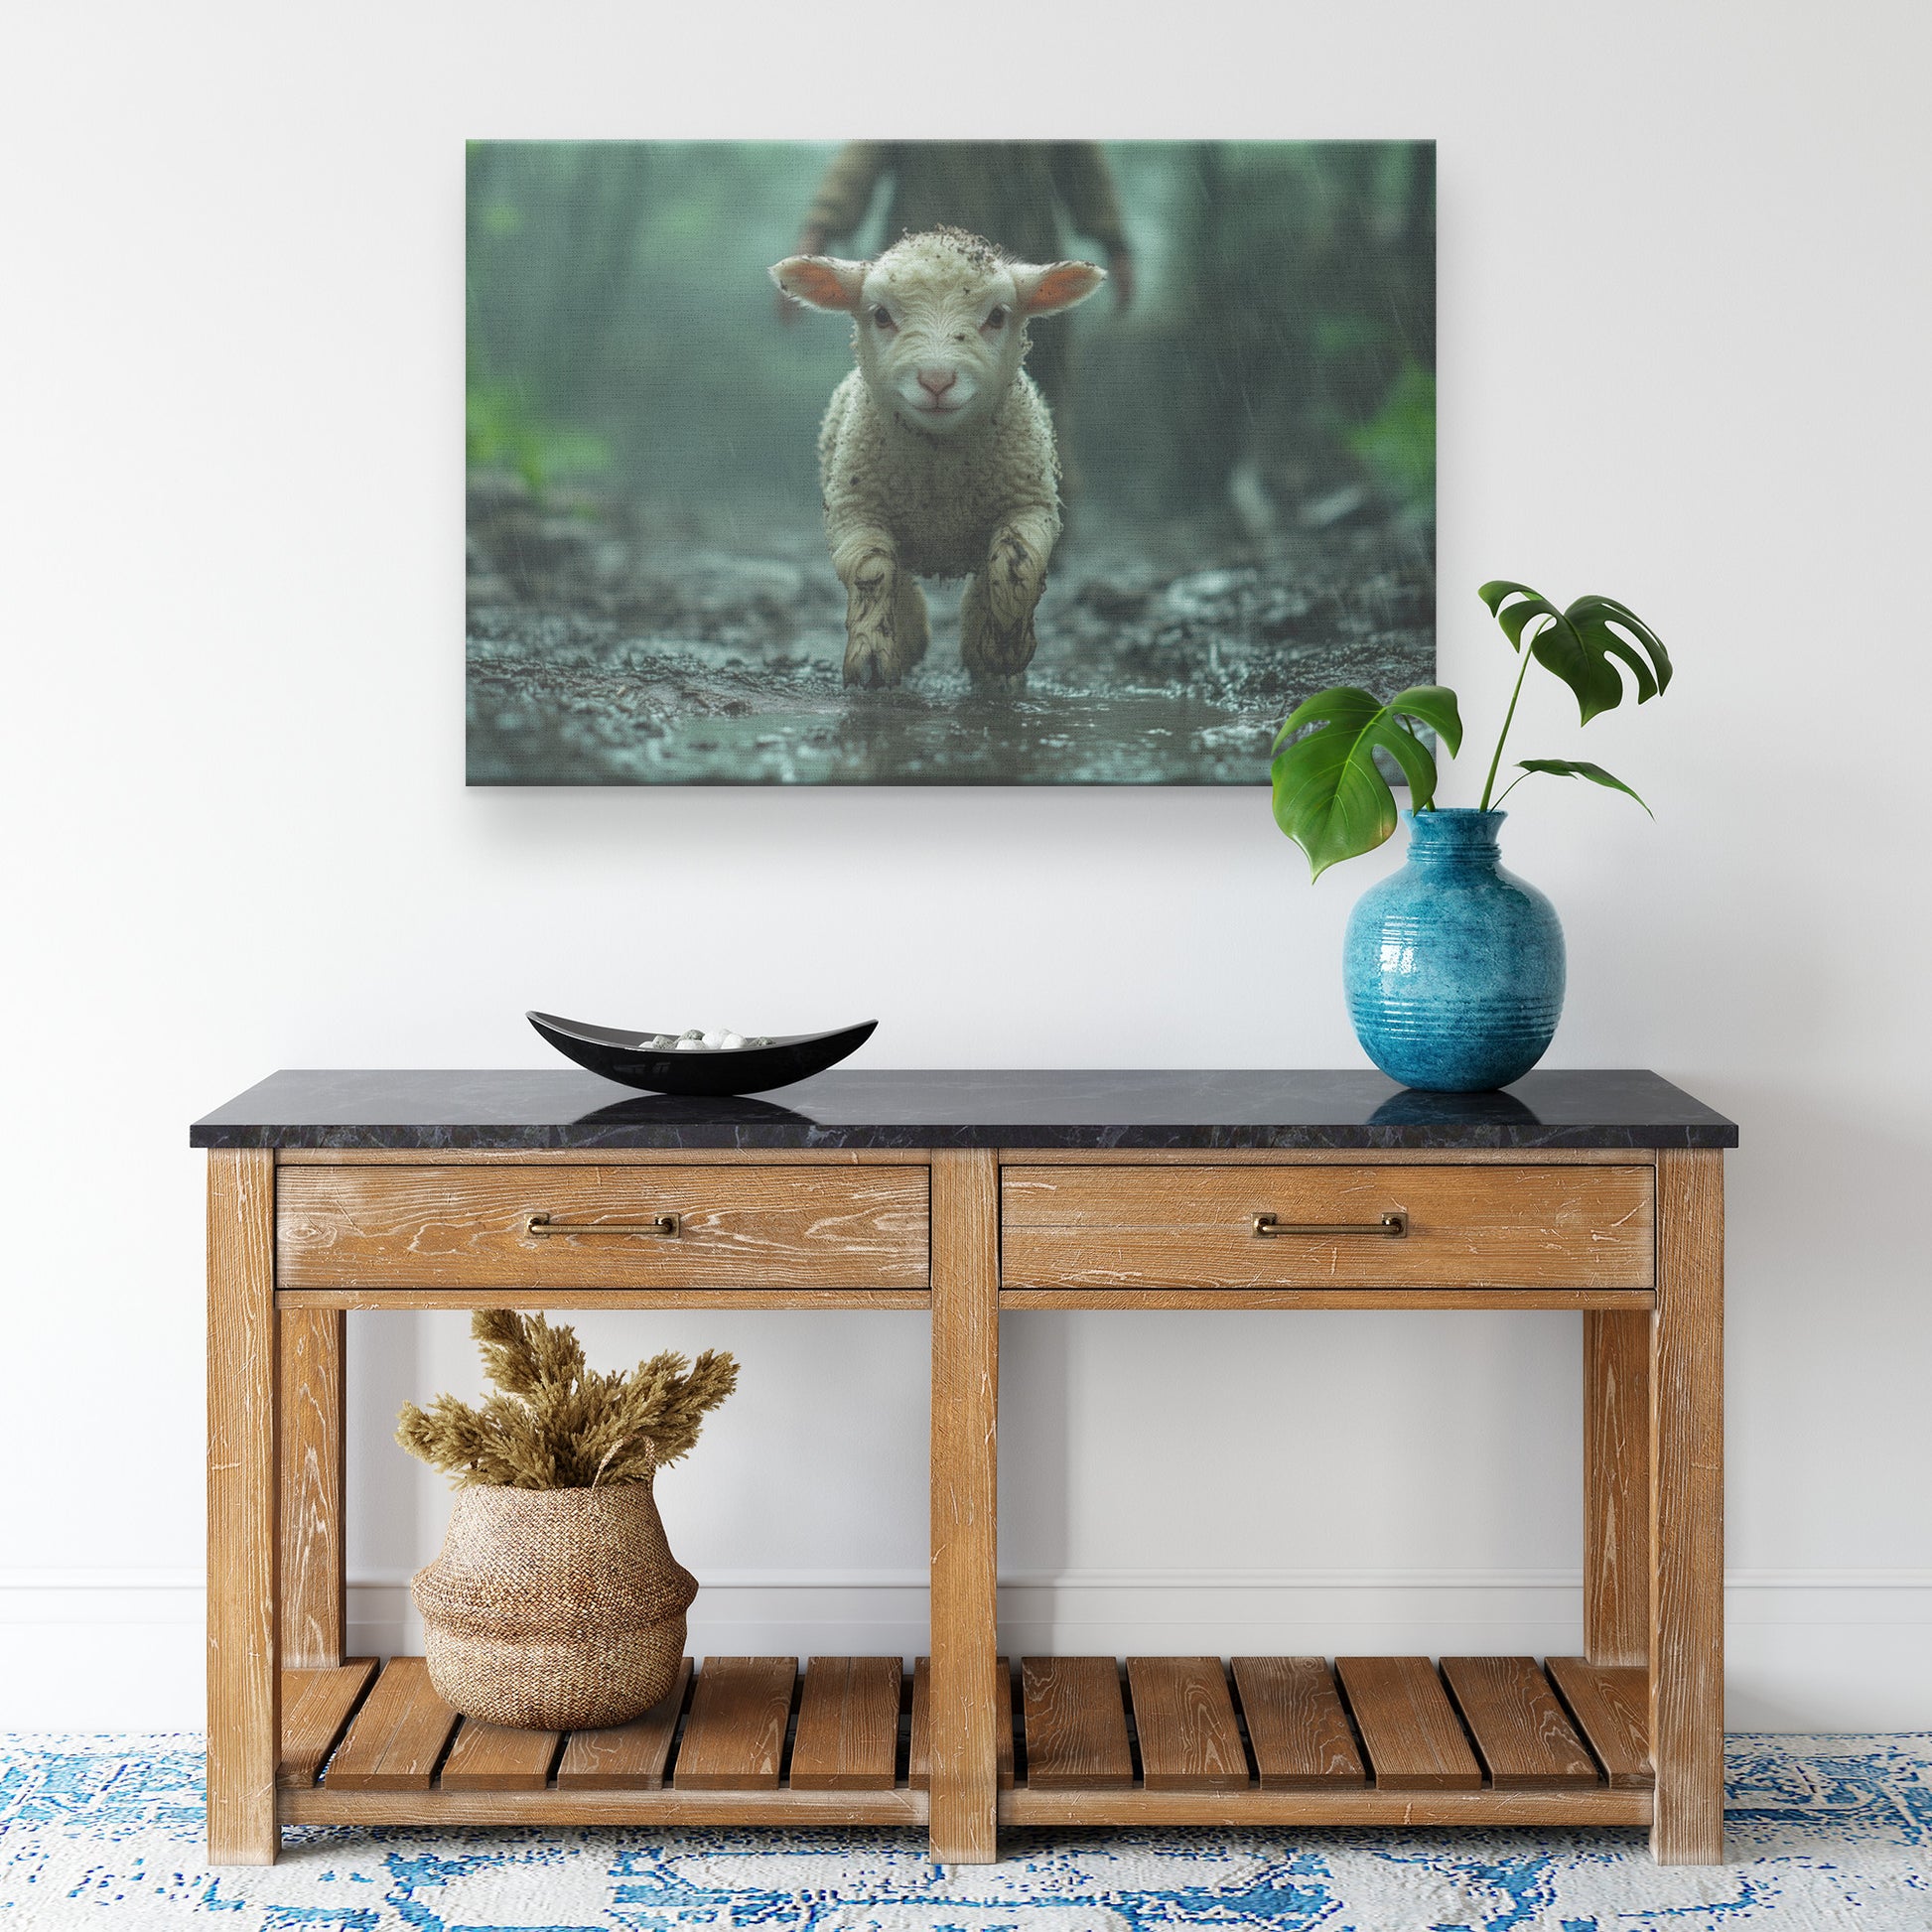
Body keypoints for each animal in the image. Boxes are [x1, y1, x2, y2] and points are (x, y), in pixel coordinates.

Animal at [769, 227, 1105, 689]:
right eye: (881, 315)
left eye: (997, 316)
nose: (937, 380)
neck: (940, 468)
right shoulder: (854, 512)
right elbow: (871, 570)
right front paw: (871, 657)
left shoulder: (1031, 505)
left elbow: (1016, 563)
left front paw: (1003, 650)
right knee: (900, 579)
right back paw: (911, 643)